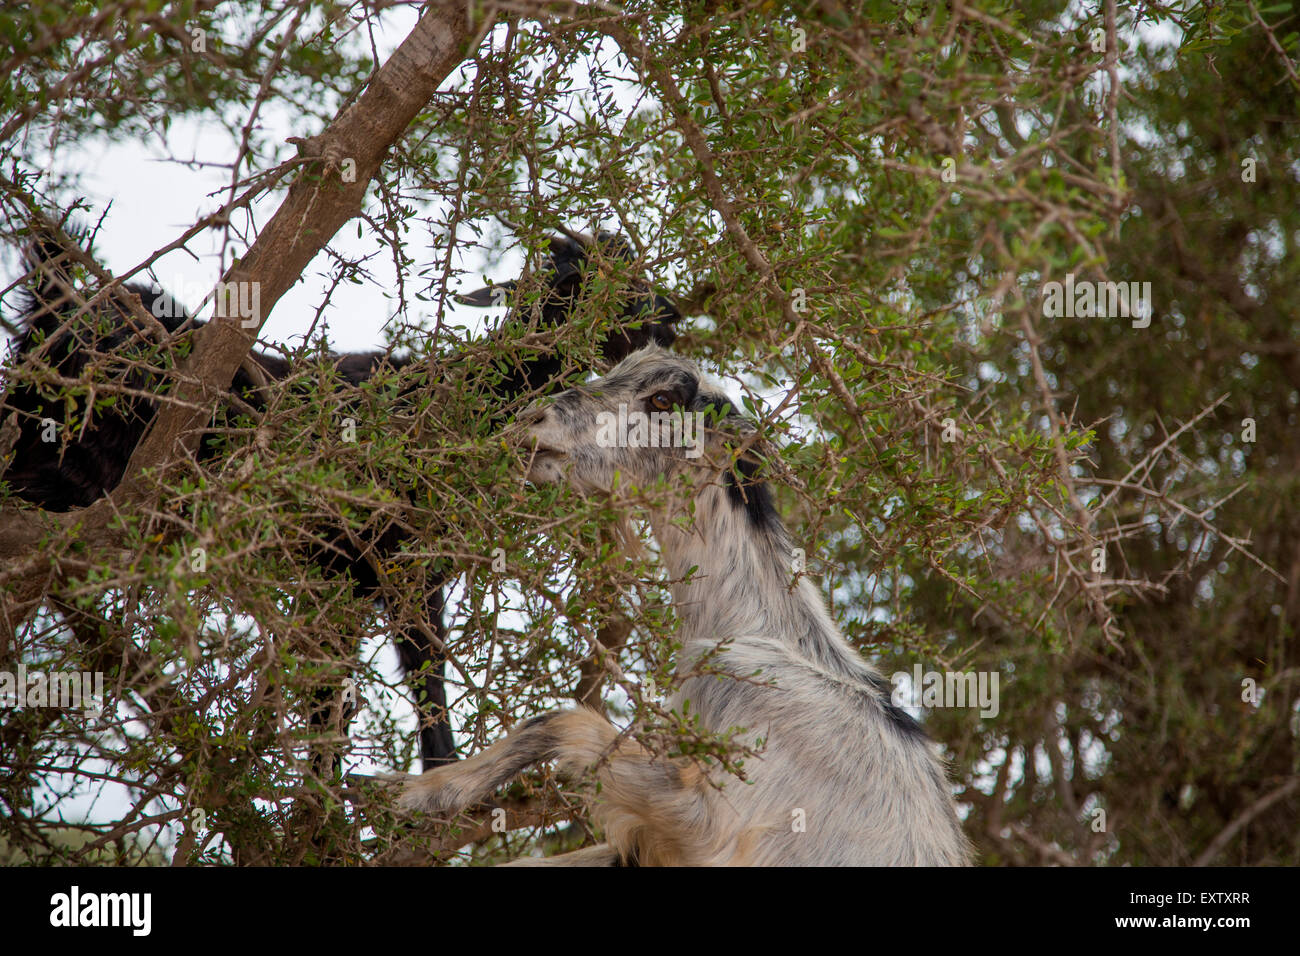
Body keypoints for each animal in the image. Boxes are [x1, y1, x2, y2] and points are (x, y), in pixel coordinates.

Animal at [1, 224, 680, 770]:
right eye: (580, 275)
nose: (663, 318)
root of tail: (52, 311)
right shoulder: (365, 561)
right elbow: (376, 676)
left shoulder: (383, 579)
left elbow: (389, 679)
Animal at [398, 345, 972, 865]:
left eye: (662, 400)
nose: (531, 421)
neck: (763, 632)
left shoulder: (710, 818)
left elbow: (561, 722)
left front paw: (419, 791)